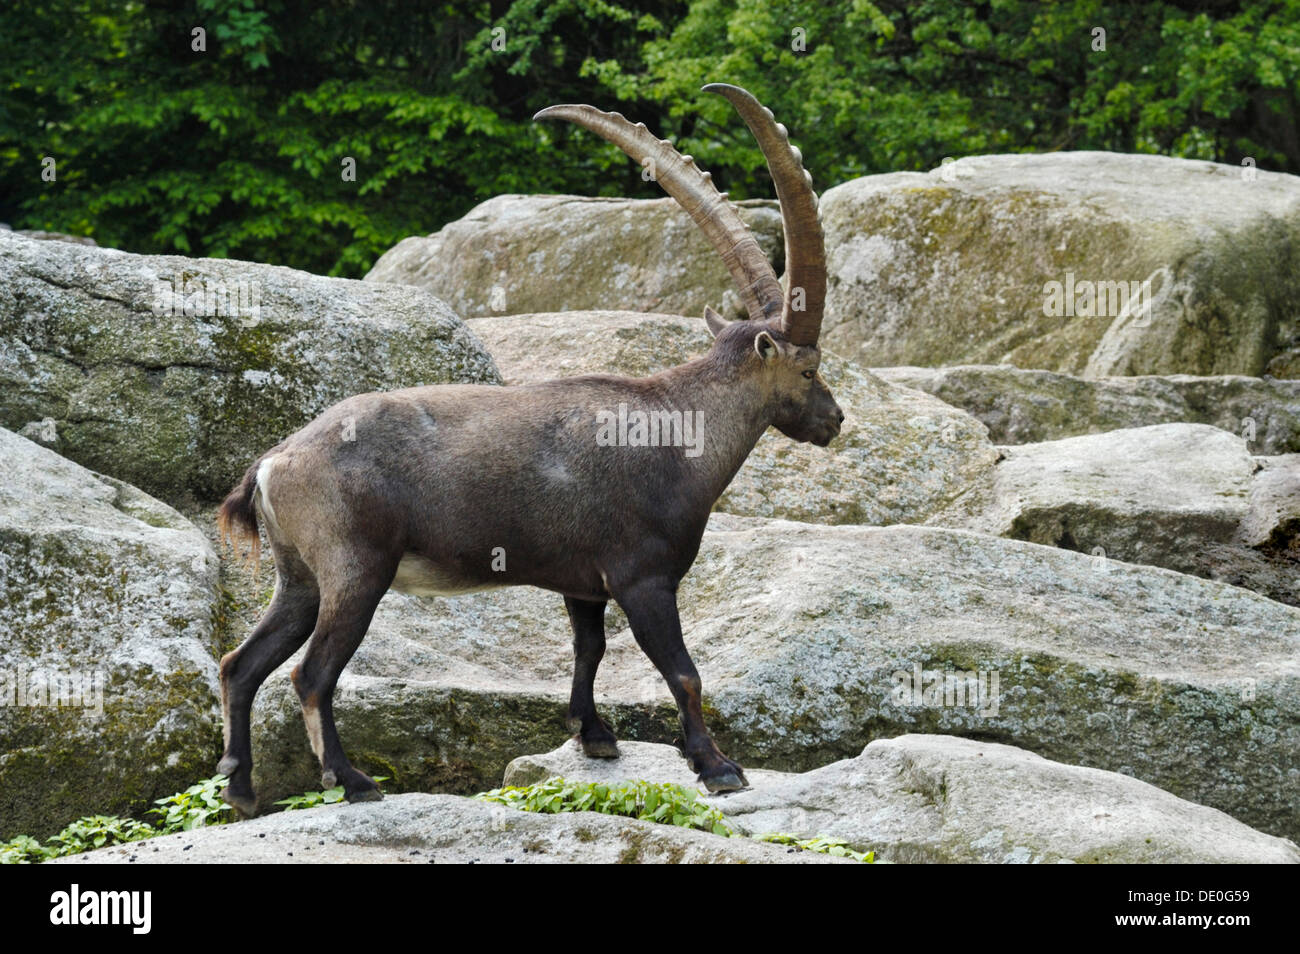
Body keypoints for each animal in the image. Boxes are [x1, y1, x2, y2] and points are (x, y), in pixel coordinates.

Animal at [214, 83, 843, 813]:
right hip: (355, 569)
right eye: (809, 368)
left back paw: (242, 790)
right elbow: (682, 672)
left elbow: (588, 650)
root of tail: (274, 462)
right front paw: (716, 766)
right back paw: (352, 781)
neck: (678, 428)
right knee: (311, 675)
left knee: (240, 665)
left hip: (299, 577)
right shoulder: (643, 577)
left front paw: (594, 736)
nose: (834, 420)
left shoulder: (583, 582)